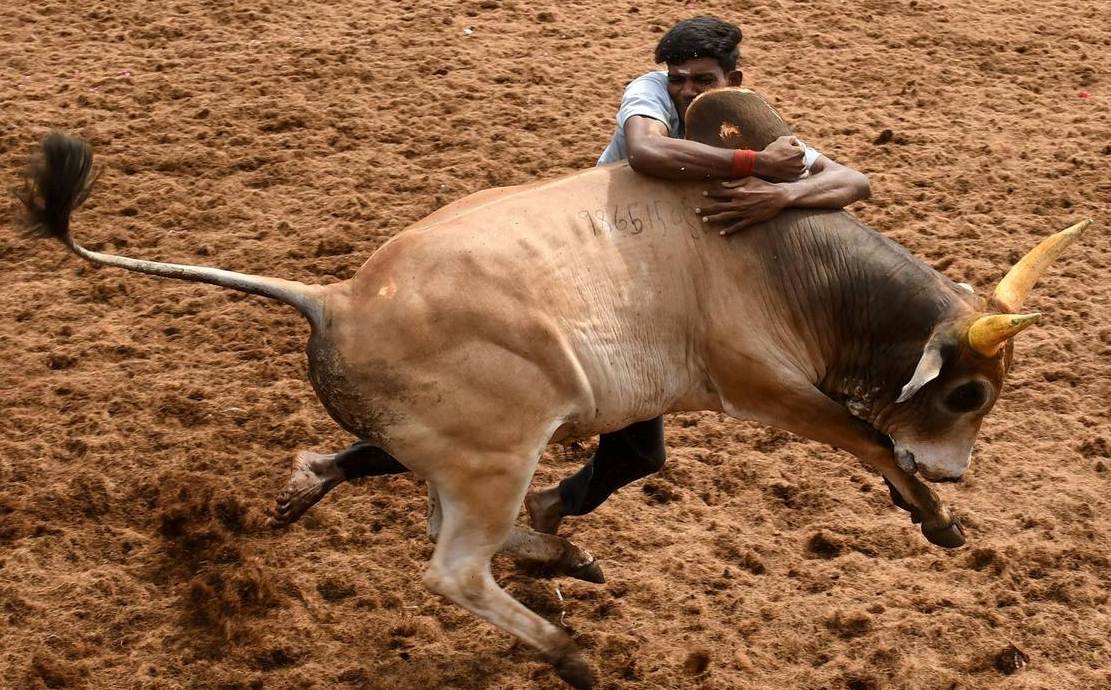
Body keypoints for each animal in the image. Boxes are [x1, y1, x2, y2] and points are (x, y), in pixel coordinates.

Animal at [19, 92, 1087, 688]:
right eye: (968, 396)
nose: (953, 476)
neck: (781, 254)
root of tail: (335, 296)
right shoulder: (761, 386)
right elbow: (862, 438)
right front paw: (936, 521)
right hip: (496, 455)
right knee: (453, 567)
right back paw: (568, 650)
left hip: (465, 458)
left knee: (433, 512)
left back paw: (534, 549)